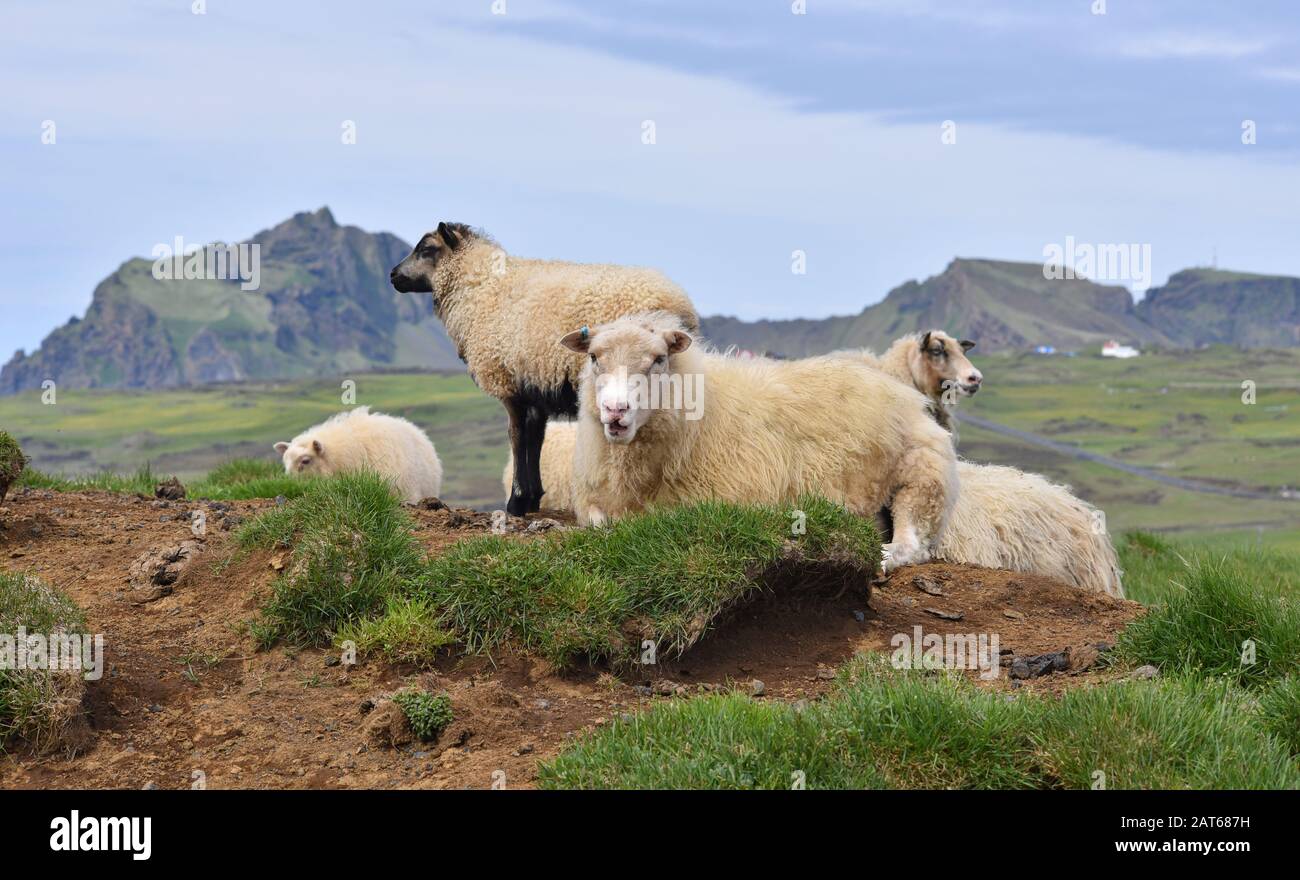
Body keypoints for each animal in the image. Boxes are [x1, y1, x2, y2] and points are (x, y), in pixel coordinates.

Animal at [390, 223, 698, 516]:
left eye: (426, 249)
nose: (393, 275)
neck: (479, 289)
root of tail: (677, 303)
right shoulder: (535, 384)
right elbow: (535, 437)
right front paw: (533, 498)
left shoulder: (509, 382)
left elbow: (516, 436)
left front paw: (516, 502)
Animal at [559, 312, 957, 570]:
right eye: (593, 357)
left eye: (658, 359)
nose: (615, 410)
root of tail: (905, 396)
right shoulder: (593, 497)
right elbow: (597, 523)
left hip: (920, 475)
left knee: (913, 545)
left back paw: (883, 555)